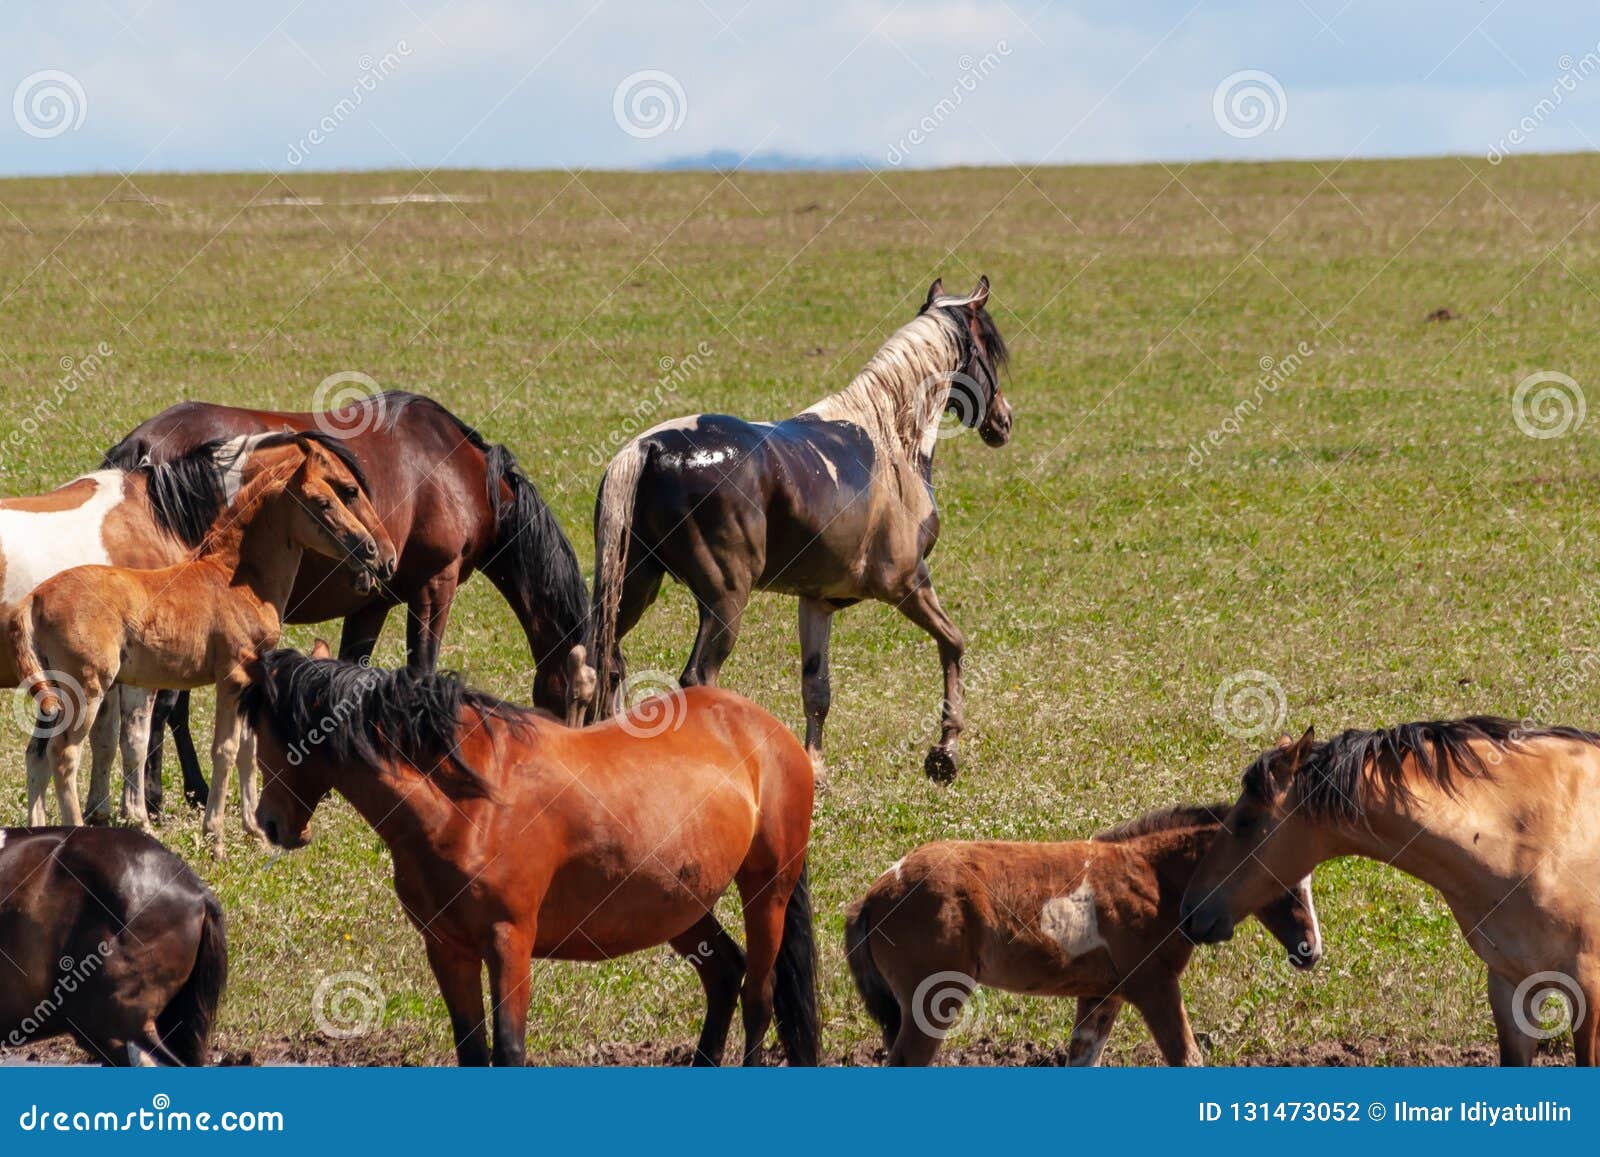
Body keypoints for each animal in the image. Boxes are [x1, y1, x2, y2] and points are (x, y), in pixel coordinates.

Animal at [102, 389, 590, 811]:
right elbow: (422, 670)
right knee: (164, 707)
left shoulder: (371, 605)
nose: (577, 758)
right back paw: (161, 796)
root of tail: (143, 447)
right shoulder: (436, 586)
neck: (459, 472)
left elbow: (352, 672)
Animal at [243, 647, 818, 1067]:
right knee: (724, 974)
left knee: (758, 995)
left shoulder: (510, 941)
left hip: (767, 892)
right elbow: (472, 1050)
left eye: (267, 733)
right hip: (679, 905)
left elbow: (509, 1050)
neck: (472, 803)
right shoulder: (447, 948)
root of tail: (770, 731)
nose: (267, 822)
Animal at [587, 277, 1011, 782]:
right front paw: (945, 753)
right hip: (725, 599)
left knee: (605, 663)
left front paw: (816, 769)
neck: (890, 436)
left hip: (634, 588)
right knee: (696, 679)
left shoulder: (817, 602)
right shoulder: (907, 582)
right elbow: (953, 643)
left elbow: (817, 687)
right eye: (989, 351)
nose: (1004, 421)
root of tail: (649, 448)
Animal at [845, 803, 1322, 1066]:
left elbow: (1084, 1058)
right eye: (1284, 881)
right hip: (932, 1000)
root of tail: (874, 895)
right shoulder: (1154, 986)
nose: (1310, 950)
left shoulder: (1101, 995)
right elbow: (1186, 1057)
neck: (1155, 877)